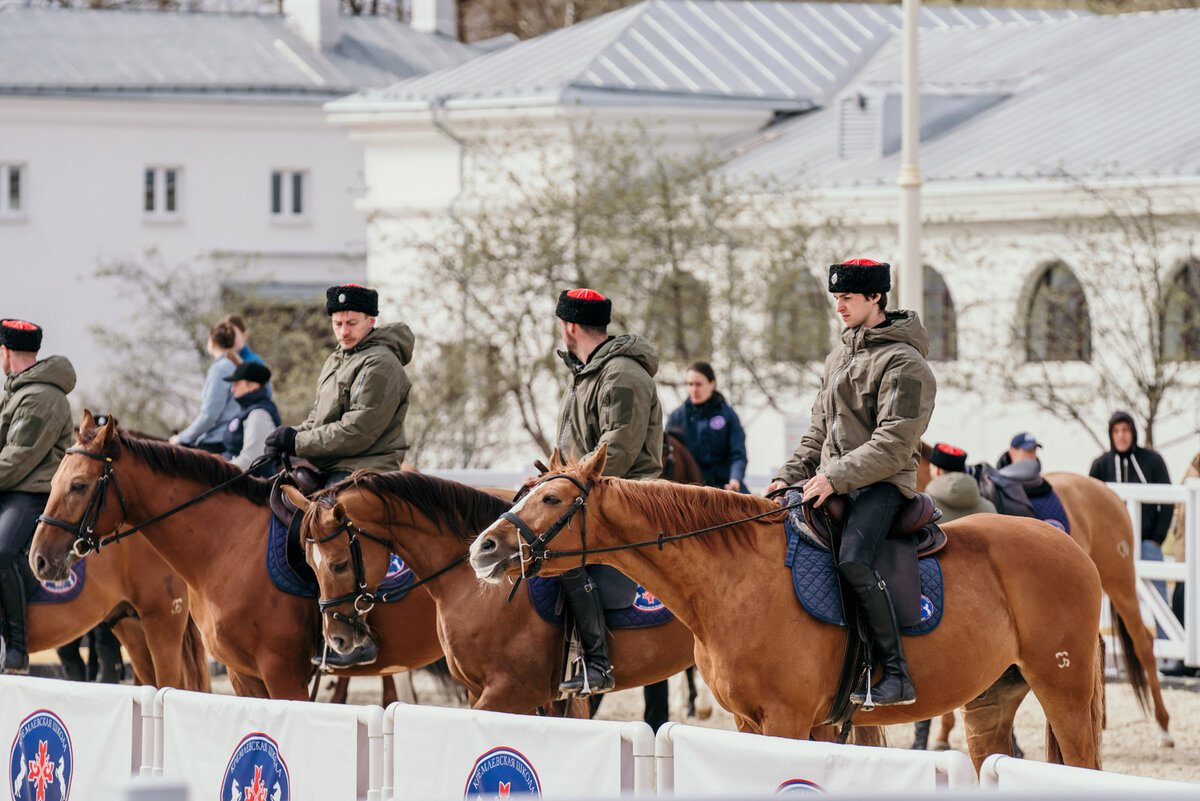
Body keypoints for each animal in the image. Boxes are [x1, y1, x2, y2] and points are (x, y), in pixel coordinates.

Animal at [29, 412, 446, 700]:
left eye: (78, 485)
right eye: (53, 481)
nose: (39, 559)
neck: (228, 545)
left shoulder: (282, 672)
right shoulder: (243, 674)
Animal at [288, 470, 696, 714]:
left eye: (339, 564)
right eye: (308, 563)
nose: (337, 639)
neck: (475, 586)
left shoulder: (511, 691)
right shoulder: (482, 690)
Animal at [468, 443, 1104, 767]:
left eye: (553, 499)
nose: (484, 547)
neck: (736, 581)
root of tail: (1070, 546)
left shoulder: (788, 721)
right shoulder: (756, 722)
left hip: (1063, 692)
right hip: (992, 701)